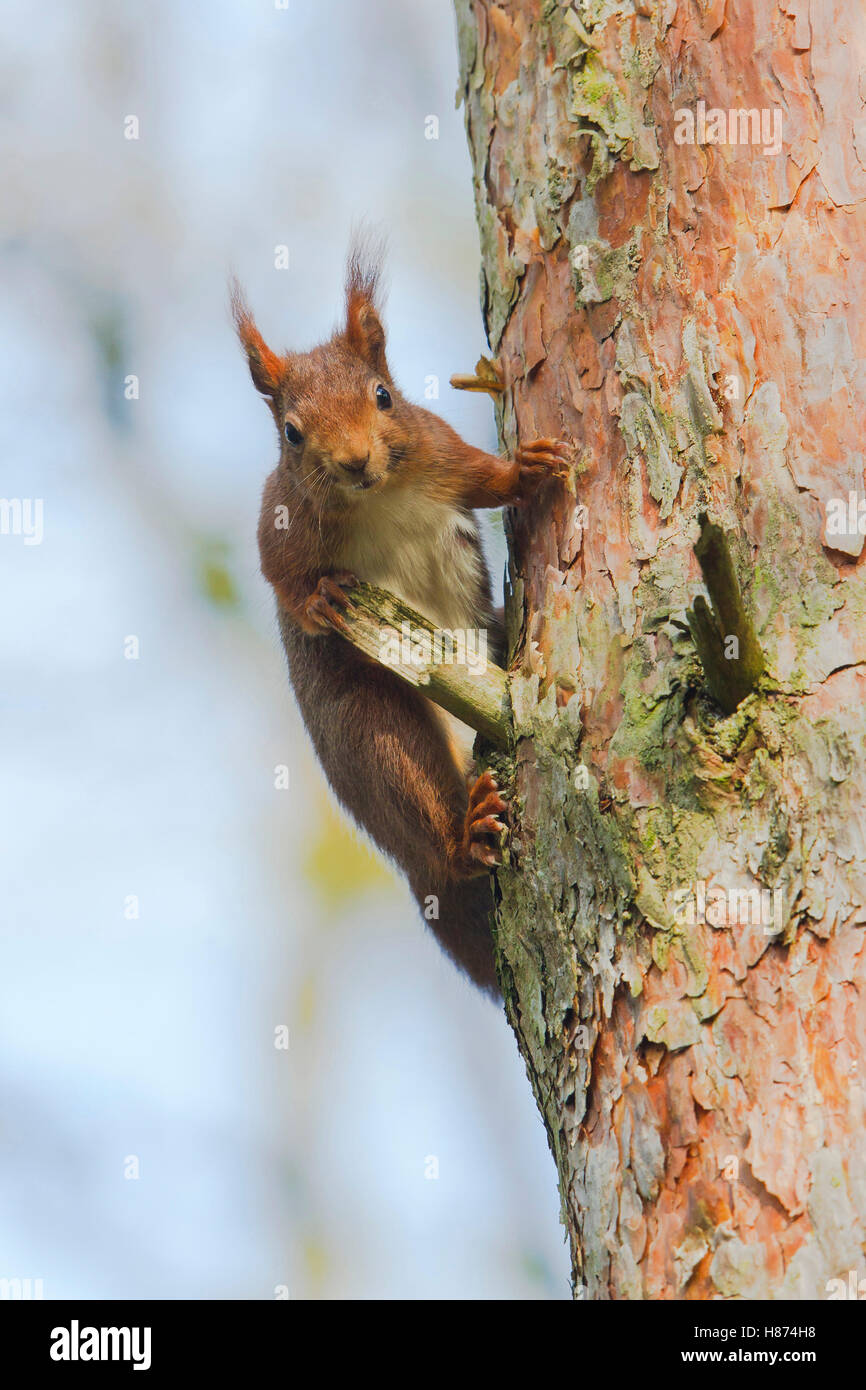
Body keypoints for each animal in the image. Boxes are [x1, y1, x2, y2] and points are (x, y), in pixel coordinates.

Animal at [233, 246, 567, 996]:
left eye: (383, 396)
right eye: (292, 433)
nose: (355, 459)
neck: (376, 497)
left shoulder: (439, 450)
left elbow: (486, 480)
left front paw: (528, 471)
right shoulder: (279, 523)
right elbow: (278, 577)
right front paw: (317, 604)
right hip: (370, 733)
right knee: (413, 798)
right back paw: (465, 833)